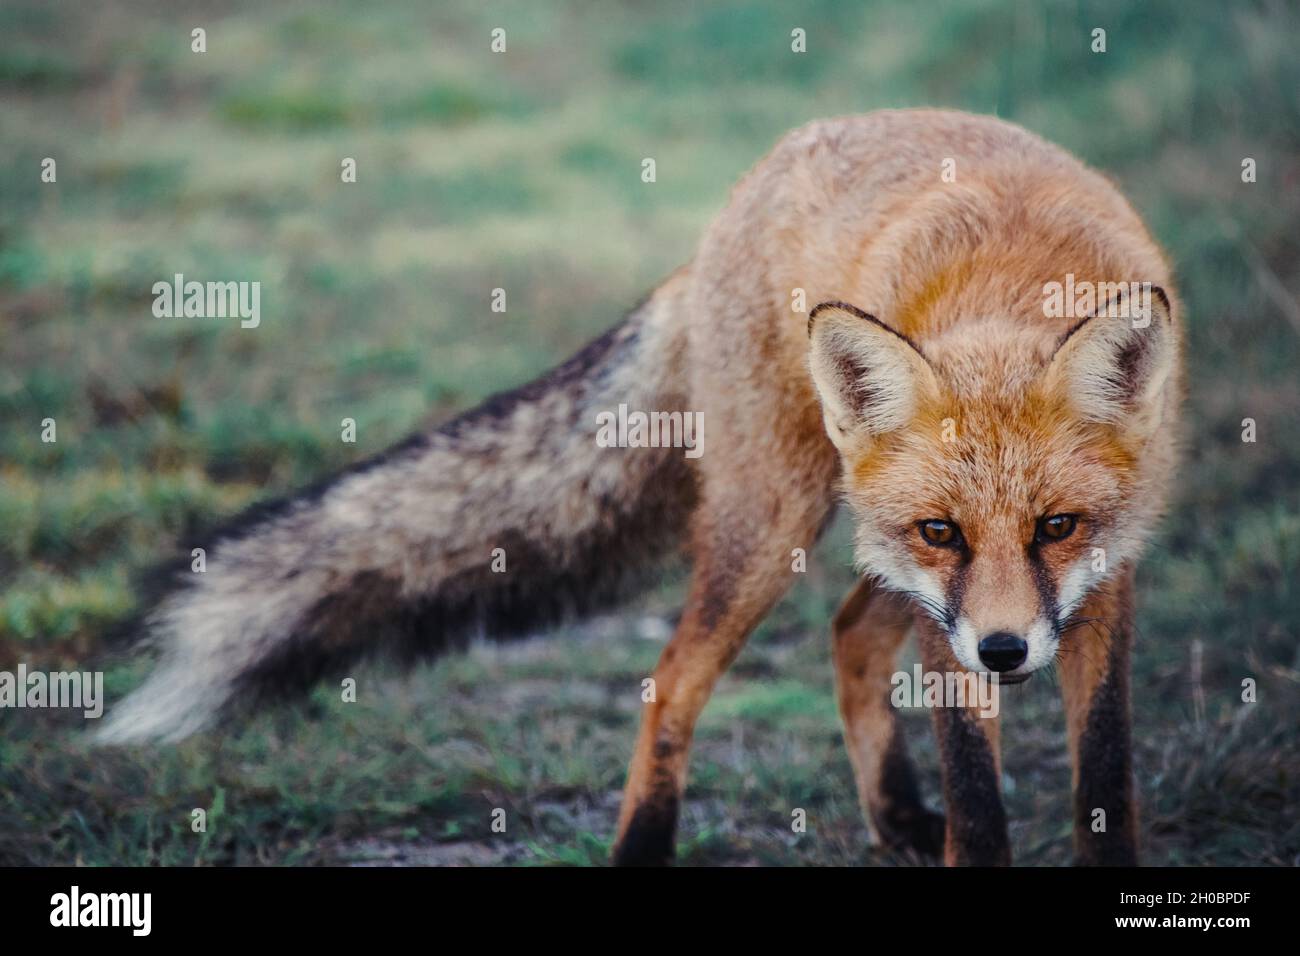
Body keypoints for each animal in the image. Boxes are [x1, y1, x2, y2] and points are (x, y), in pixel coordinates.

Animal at [98, 109, 1181, 867]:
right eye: (944, 529)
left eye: (1057, 525)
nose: (1004, 653)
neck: (1005, 278)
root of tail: (722, 220)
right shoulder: (941, 600)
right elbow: (980, 804)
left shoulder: (1105, 581)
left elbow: (1106, 781)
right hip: (774, 527)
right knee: (674, 678)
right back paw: (646, 843)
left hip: (853, 551)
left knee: (842, 634)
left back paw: (894, 818)